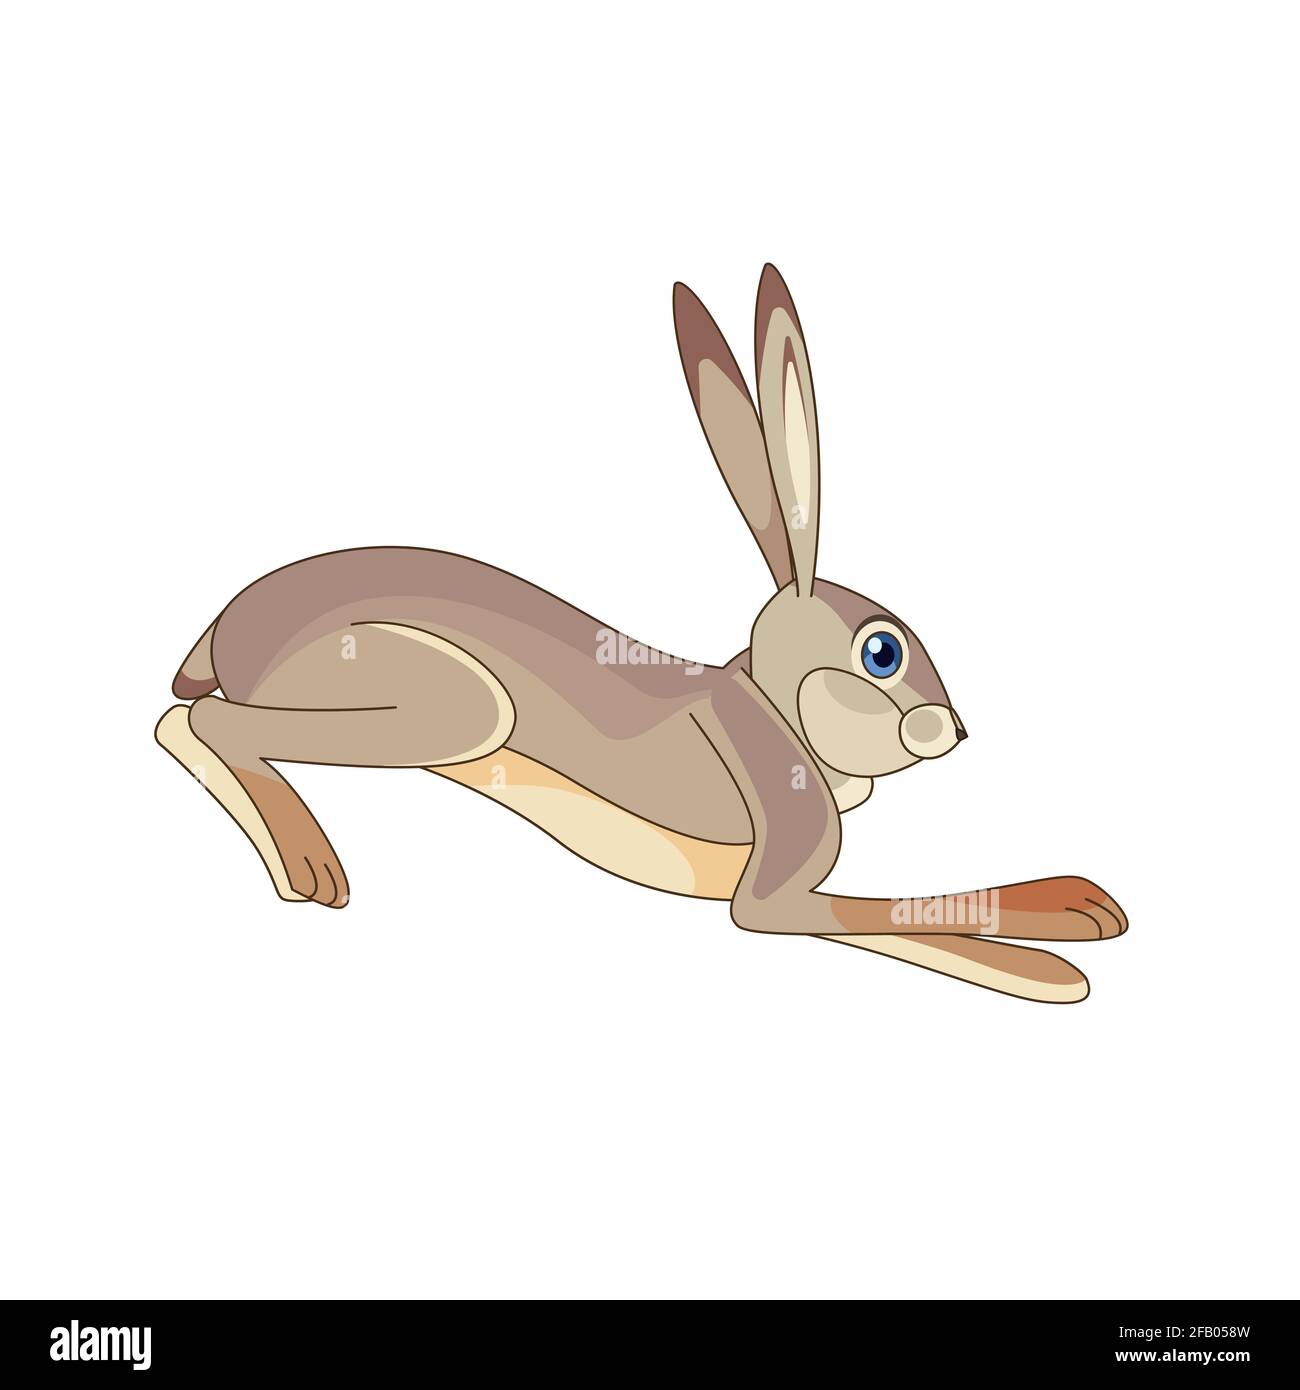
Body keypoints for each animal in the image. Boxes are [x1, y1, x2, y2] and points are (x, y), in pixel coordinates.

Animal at [156, 264, 1126, 1003]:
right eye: (881, 652)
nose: (953, 730)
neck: (776, 707)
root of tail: (229, 629)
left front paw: (1083, 910)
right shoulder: (774, 888)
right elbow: (865, 910)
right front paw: (1058, 948)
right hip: (461, 710)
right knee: (203, 721)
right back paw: (309, 864)